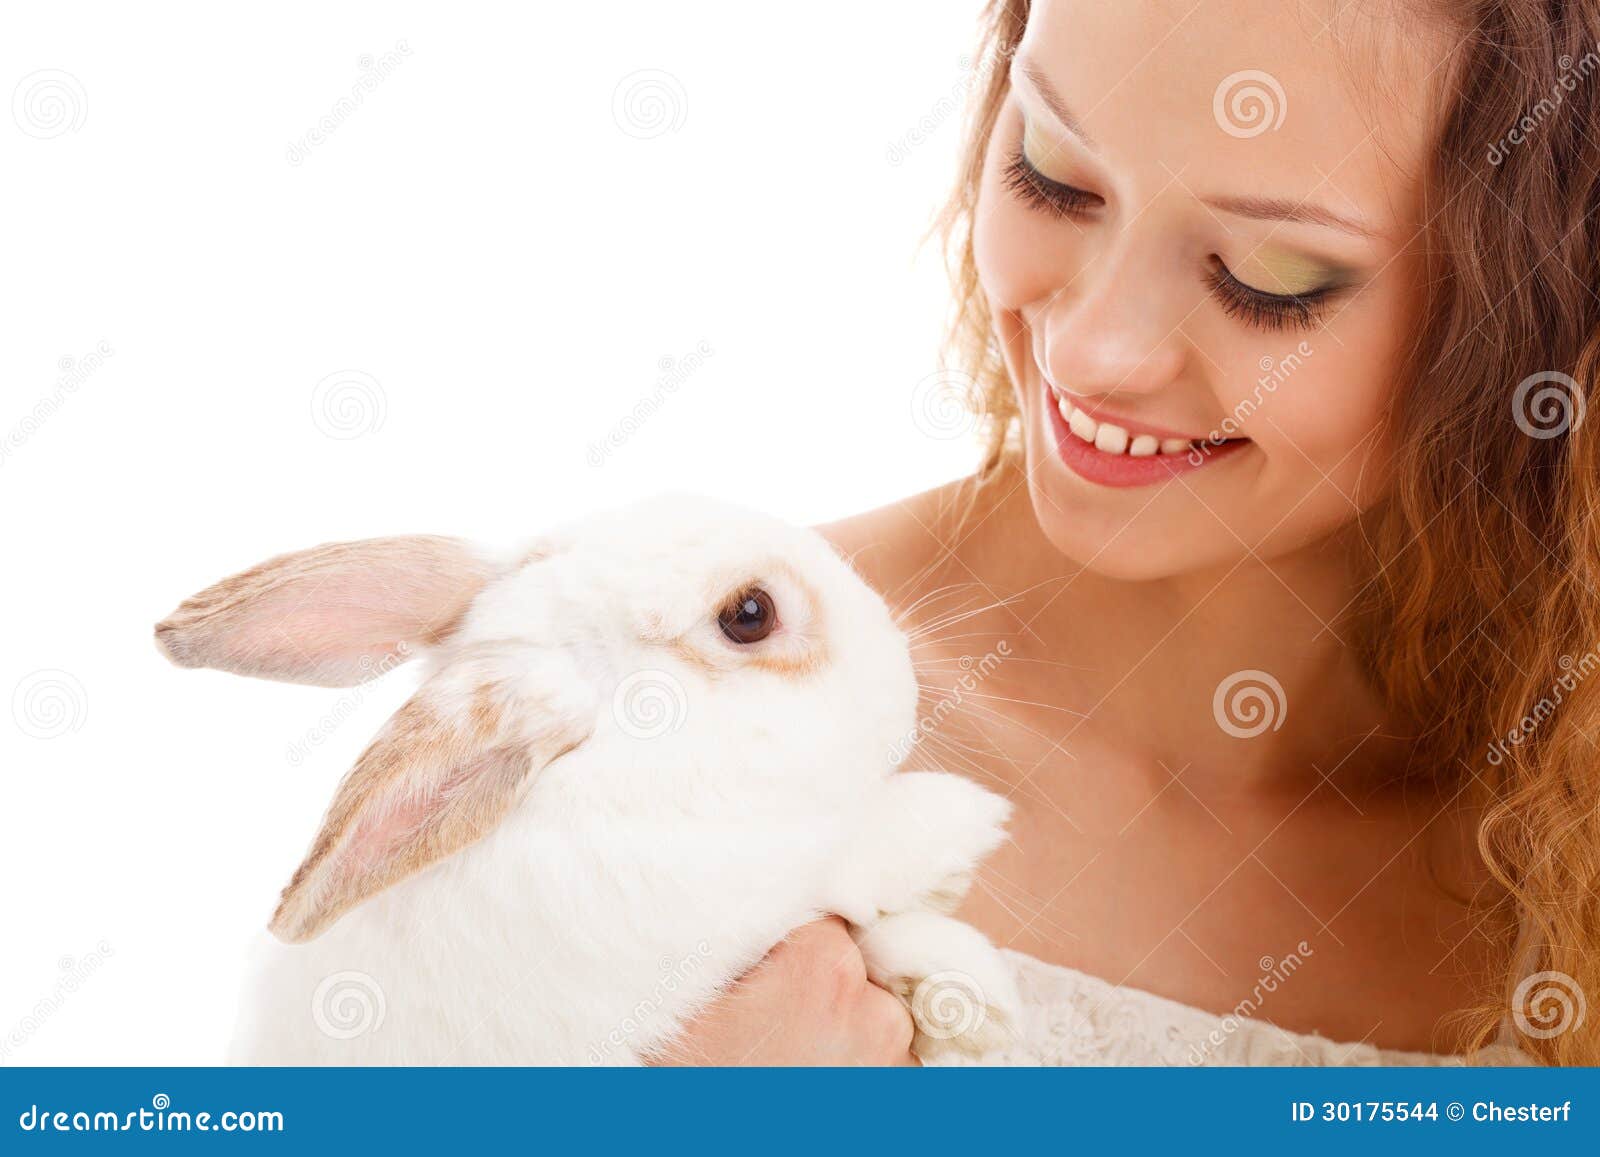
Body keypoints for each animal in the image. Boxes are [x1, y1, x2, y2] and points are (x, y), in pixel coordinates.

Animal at [155, 494, 1020, 1065]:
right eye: (750, 613)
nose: (905, 678)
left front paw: (965, 997)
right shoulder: (716, 911)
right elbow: (834, 859)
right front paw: (963, 830)